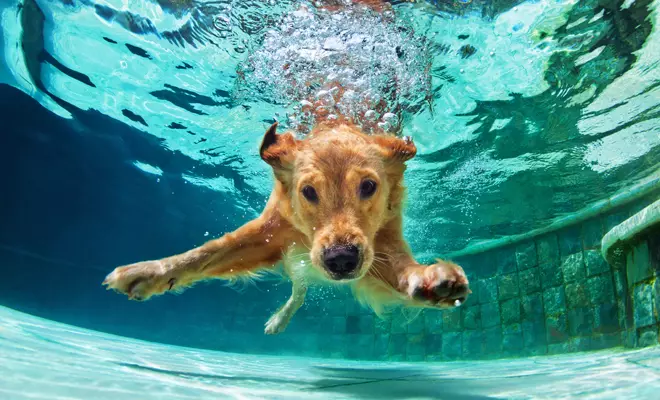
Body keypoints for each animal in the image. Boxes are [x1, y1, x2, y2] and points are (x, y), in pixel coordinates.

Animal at [103, 122, 470, 334]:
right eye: (308, 191)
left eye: (368, 186)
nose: (341, 259)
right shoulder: (268, 233)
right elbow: (206, 253)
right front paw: (149, 272)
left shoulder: (381, 242)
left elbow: (403, 269)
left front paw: (431, 280)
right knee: (299, 289)